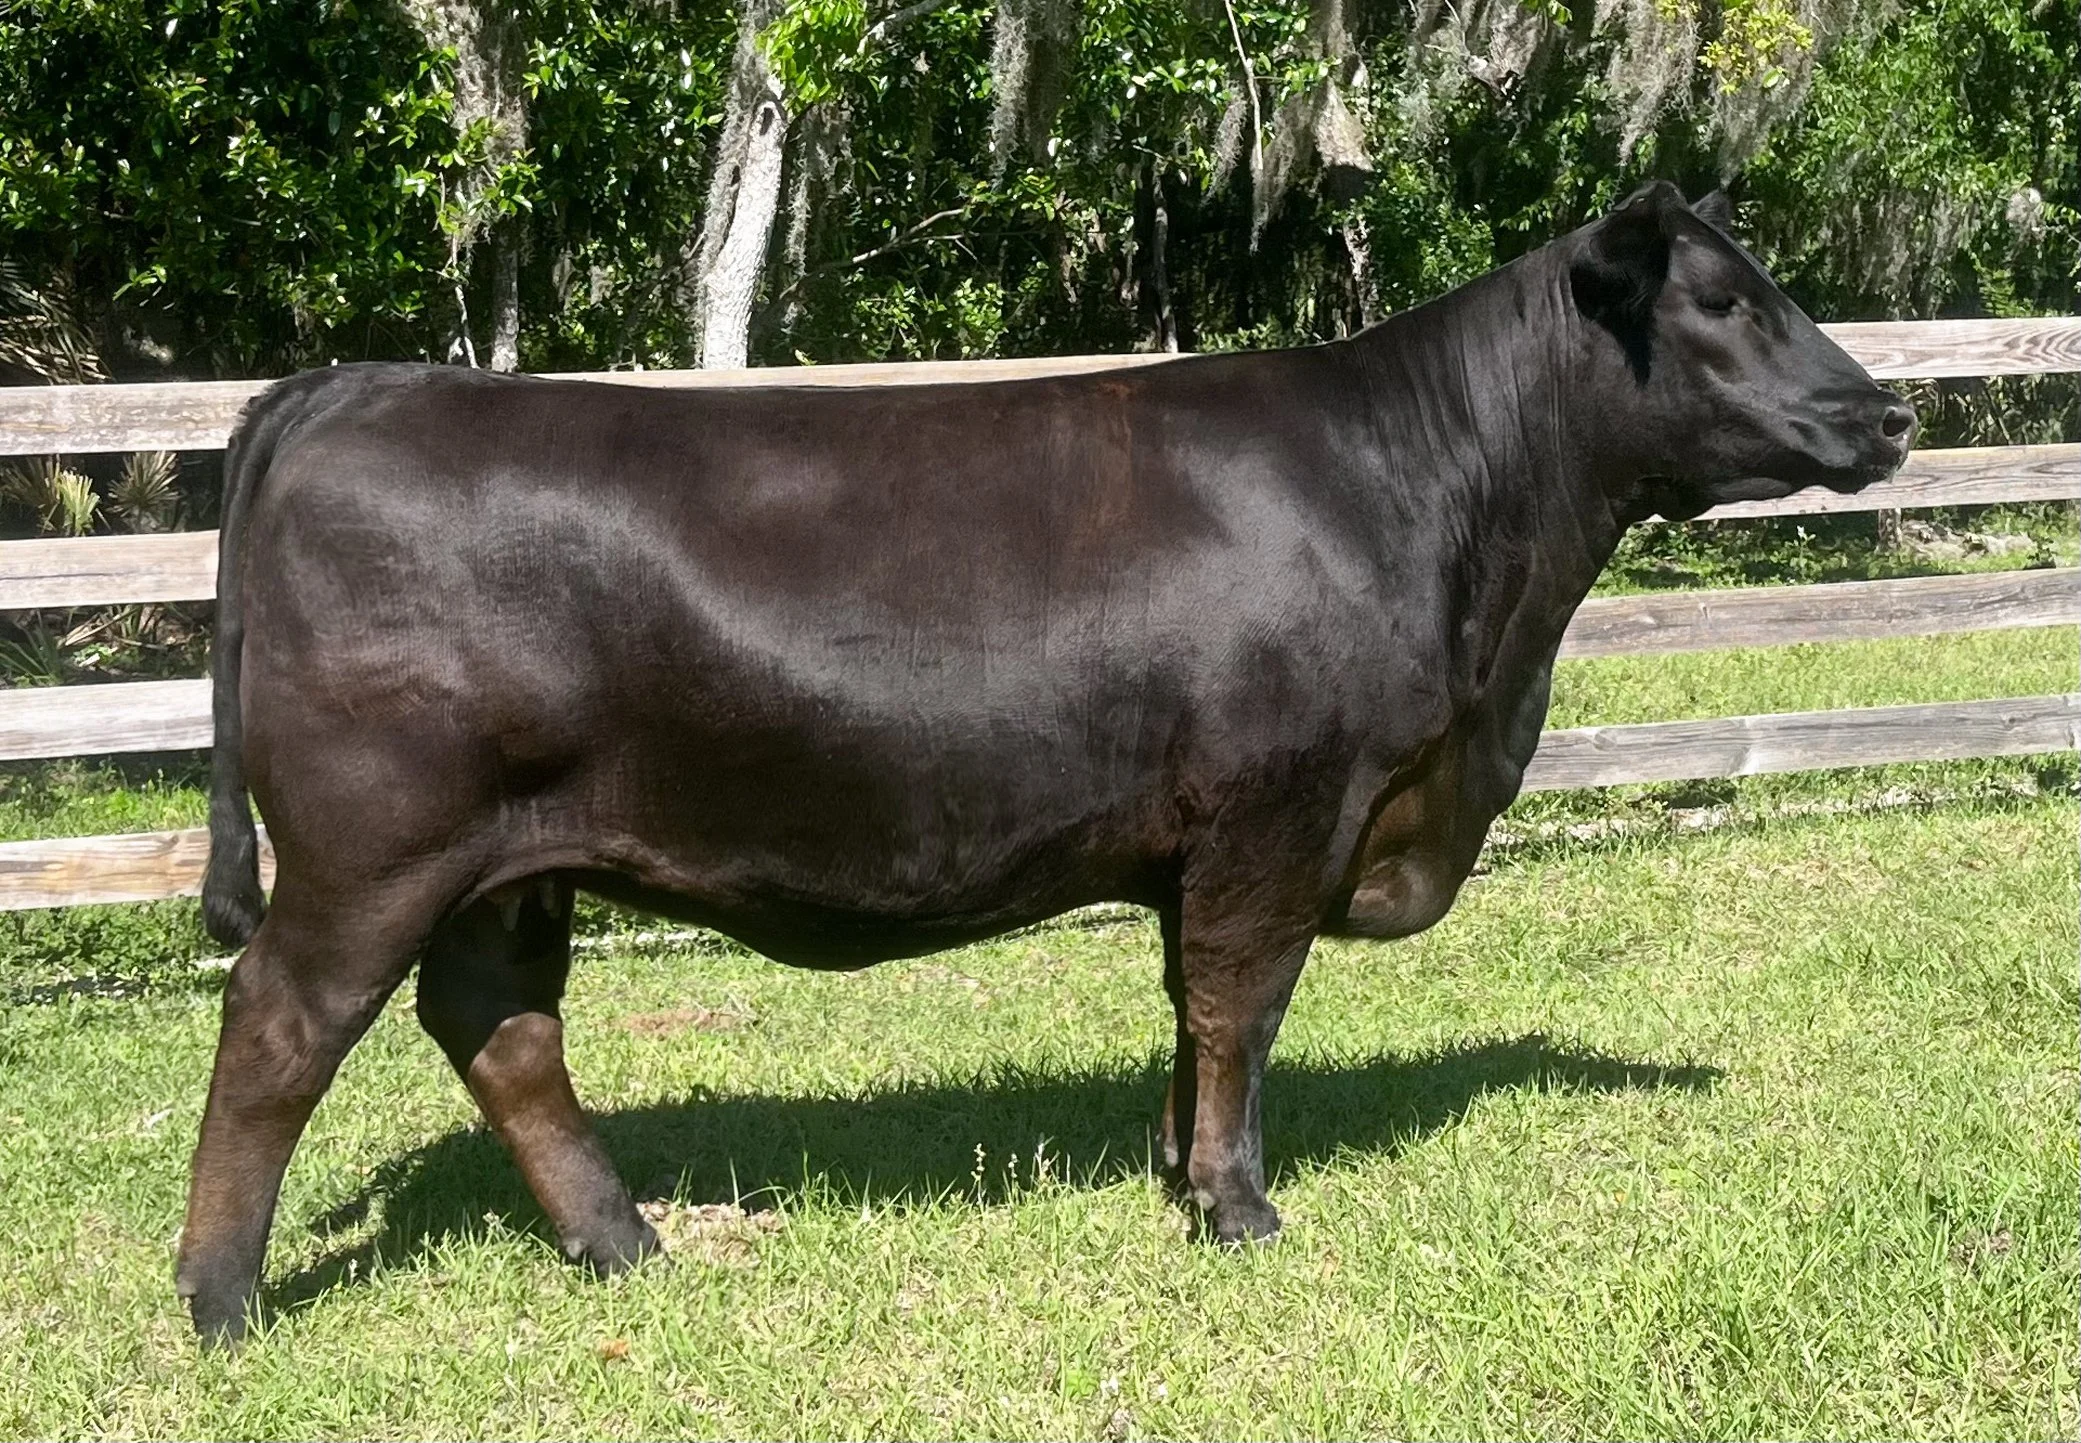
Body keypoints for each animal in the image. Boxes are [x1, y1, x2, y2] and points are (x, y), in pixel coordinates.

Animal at [177, 182, 1913, 1341]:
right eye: (1722, 302)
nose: (1887, 414)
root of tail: (354, 384)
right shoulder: (1281, 805)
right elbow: (1241, 1004)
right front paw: (1237, 1205)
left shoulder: (1205, 835)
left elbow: (1190, 1010)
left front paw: (1176, 1174)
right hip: (375, 845)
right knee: (280, 1028)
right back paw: (219, 1300)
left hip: (511, 860)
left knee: (503, 1029)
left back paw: (626, 1243)